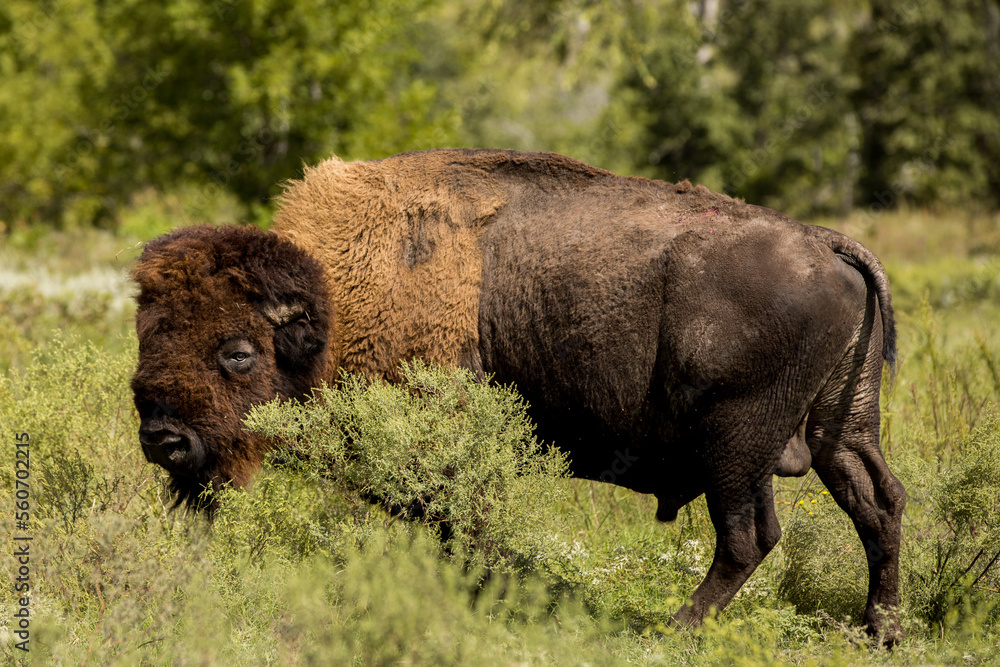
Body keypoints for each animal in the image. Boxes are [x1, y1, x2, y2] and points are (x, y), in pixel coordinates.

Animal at [131, 149, 905, 642]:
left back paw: (675, 627)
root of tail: (827, 245)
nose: (163, 438)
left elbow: (453, 519)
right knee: (877, 501)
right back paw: (881, 630)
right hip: (839, 426)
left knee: (749, 535)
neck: (341, 294)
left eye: (237, 352)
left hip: (736, 446)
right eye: (145, 335)